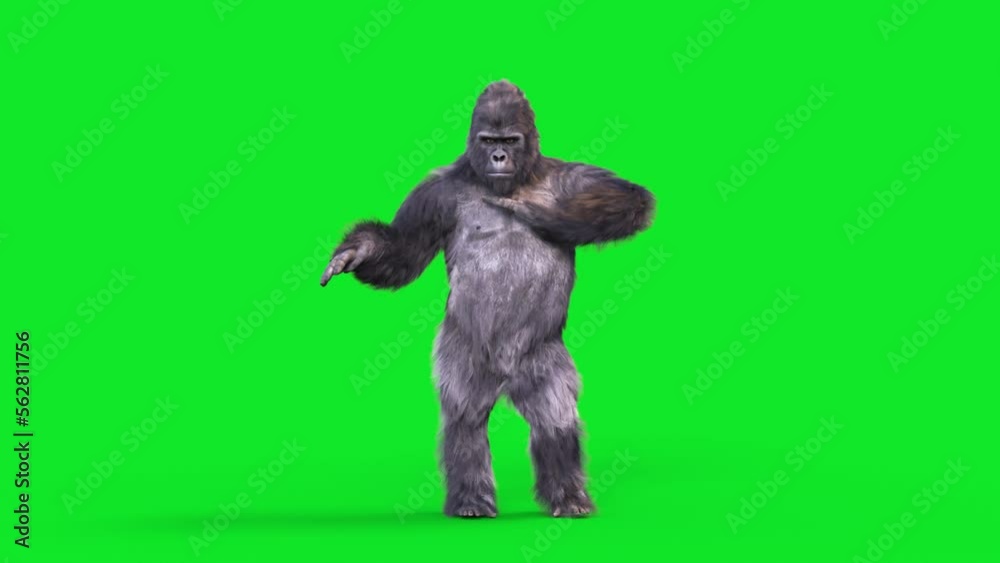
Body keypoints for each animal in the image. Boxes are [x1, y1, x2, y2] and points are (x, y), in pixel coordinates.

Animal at [321, 80, 654, 517]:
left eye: (510, 140)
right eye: (489, 141)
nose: (499, 156)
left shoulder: (572, 178)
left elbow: (629, 198)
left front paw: (542, 213)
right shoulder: (433, 194)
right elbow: (404, 250)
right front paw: (357, 251)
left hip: (542, 357)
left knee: (554, 417)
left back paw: (567, 497)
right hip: (463, 351)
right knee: (466, 418)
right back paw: (471, 499)